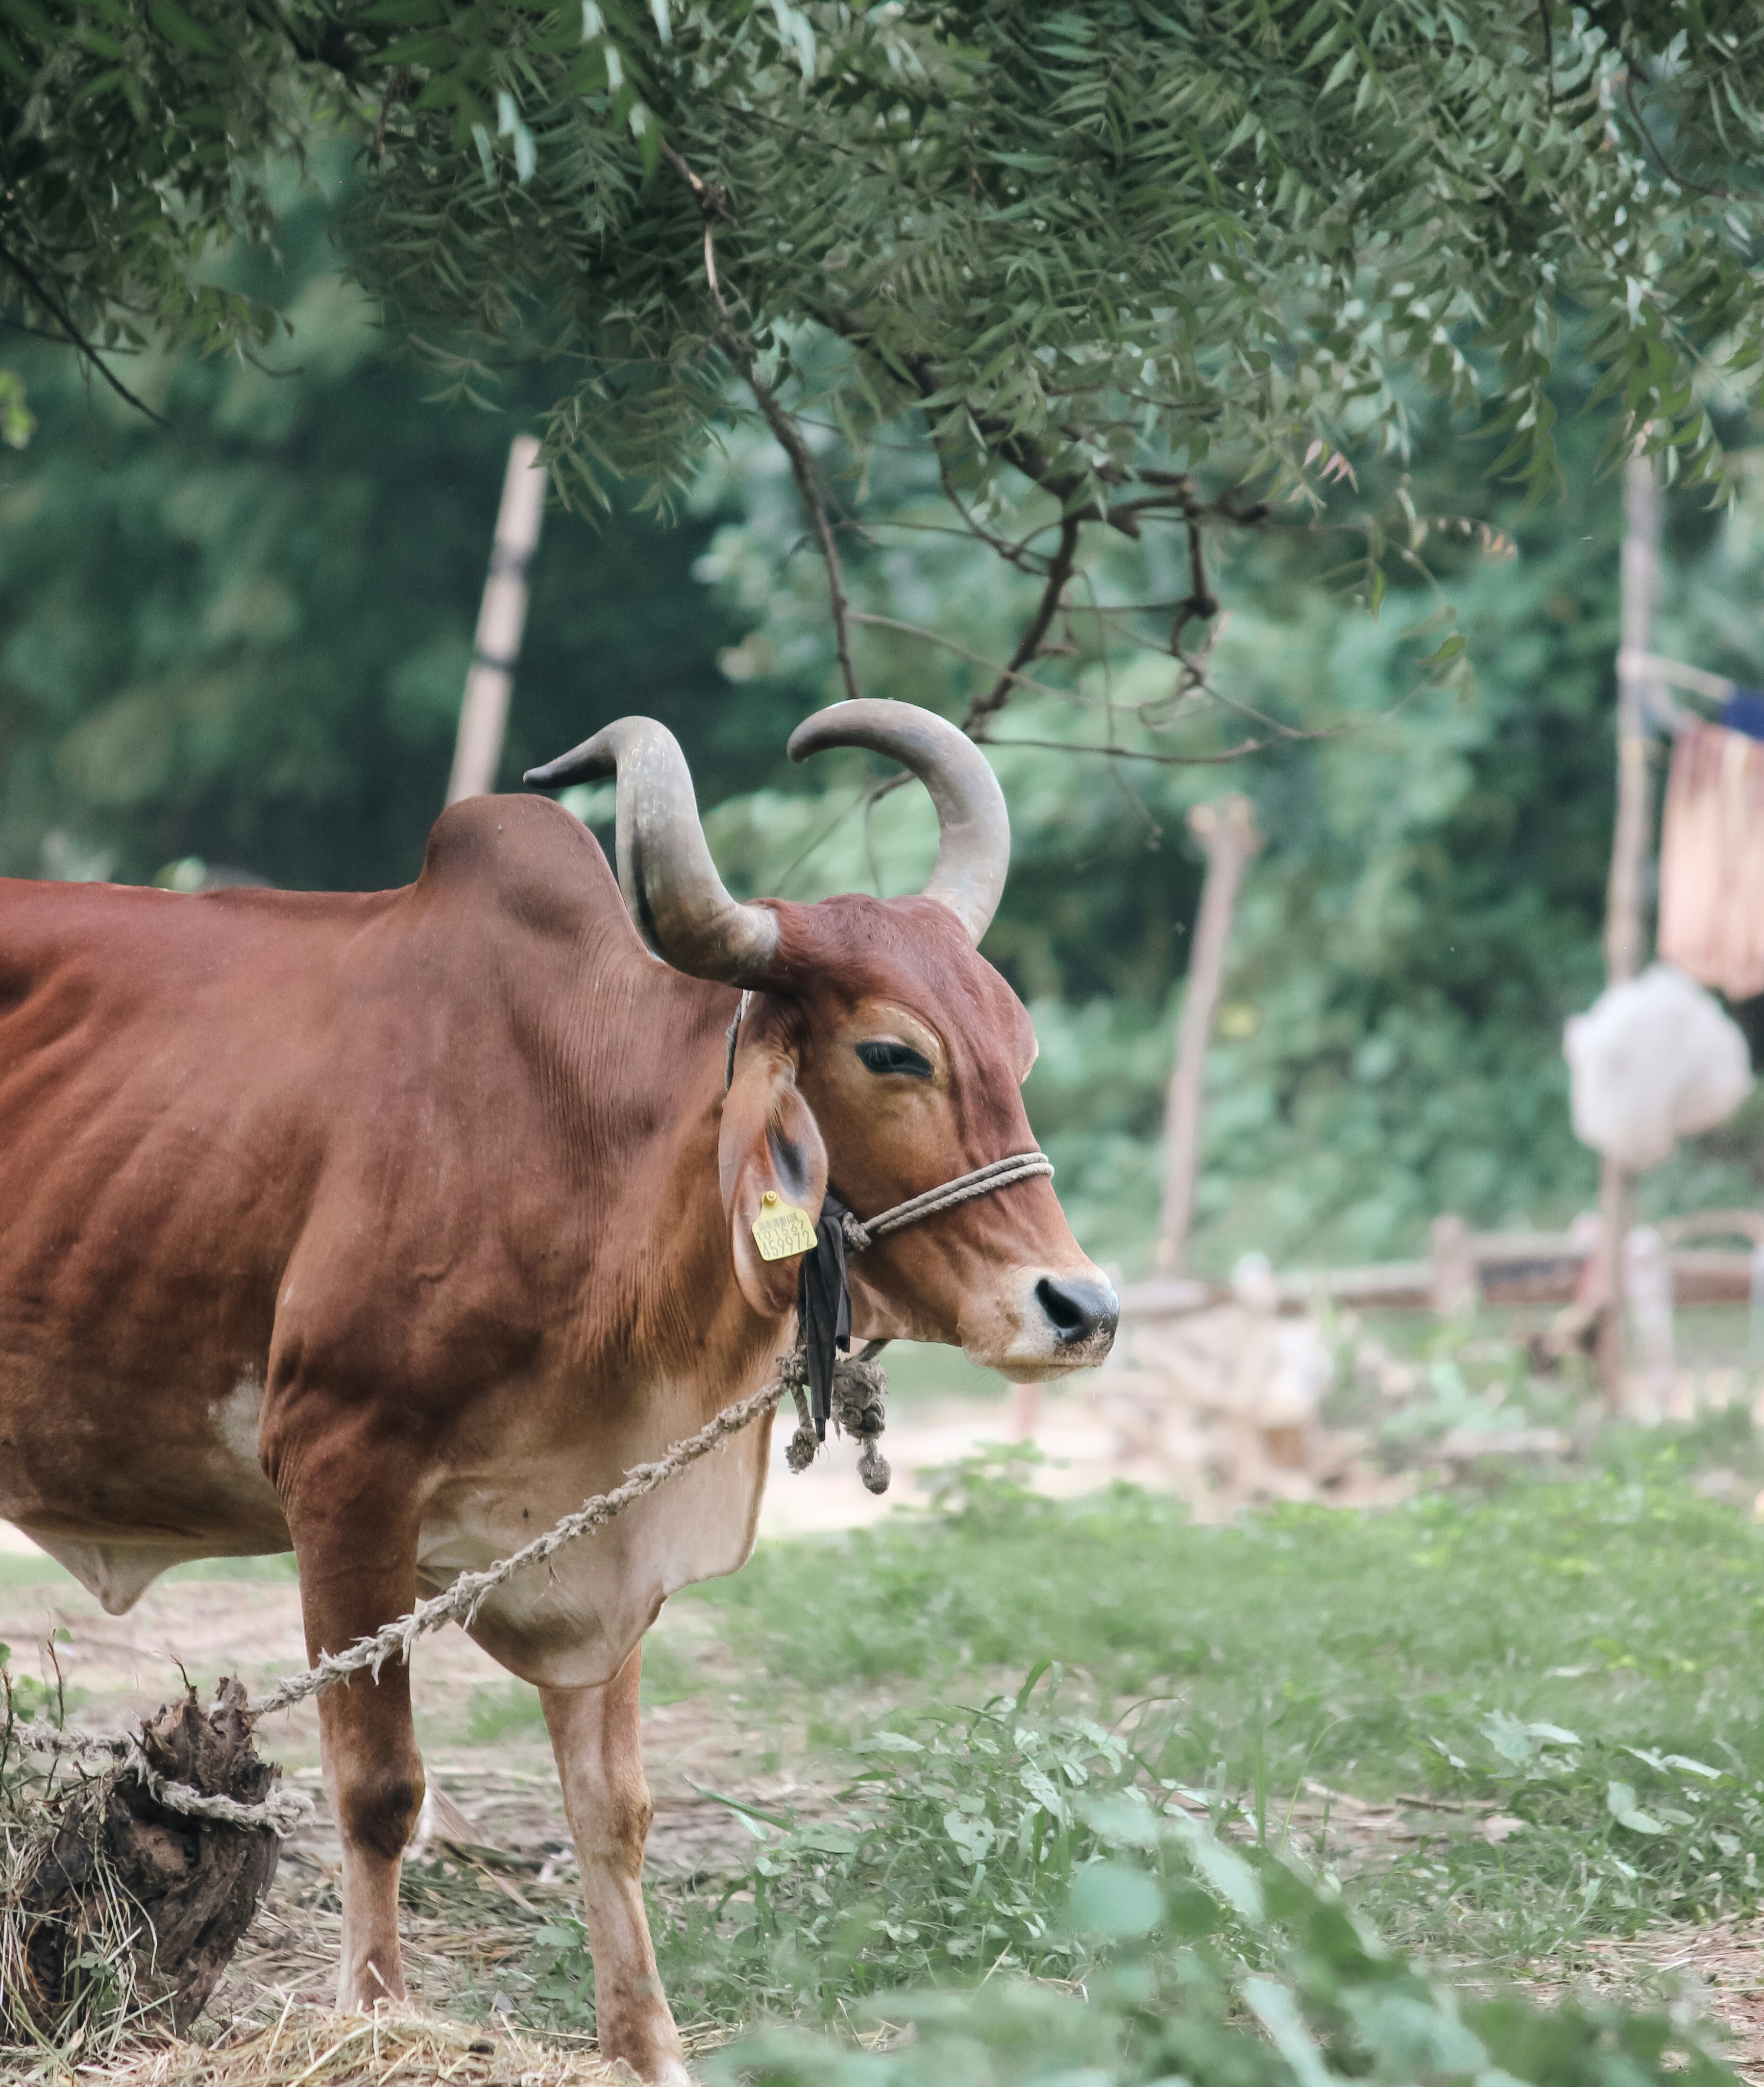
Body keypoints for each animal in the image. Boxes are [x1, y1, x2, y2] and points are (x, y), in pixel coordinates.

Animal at [0, 698, 1117, 2081]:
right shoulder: (341, 1479)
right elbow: (380, 1790)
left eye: (1017, 1043)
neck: (583, 1155)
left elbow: (611, 1809)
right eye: (890, 1052)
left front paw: (647, 2043)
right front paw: (379, 2015)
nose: (1080, 1308)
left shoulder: (604, 1526)